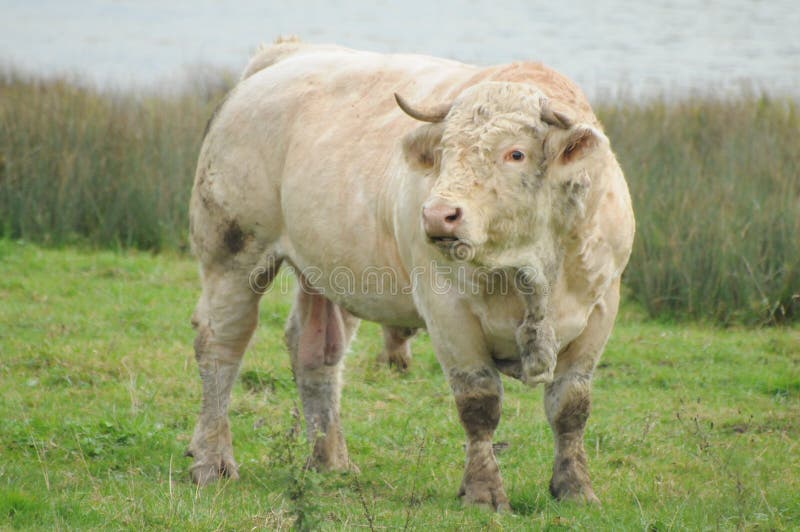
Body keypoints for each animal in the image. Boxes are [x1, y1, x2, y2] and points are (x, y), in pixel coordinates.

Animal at [186, 38, 635, 511]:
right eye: (444, 153)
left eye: (516, 153)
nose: (438, 215)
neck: (532, 269)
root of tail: (289, 52)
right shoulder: (448, 311)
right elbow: (479, 402)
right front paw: (483, 493)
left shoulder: (601, 307)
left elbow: (571, 406)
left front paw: (575, 488)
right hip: (232, 254)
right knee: (220, 345)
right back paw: (212, 461)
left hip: (330, 272)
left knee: (315, 351)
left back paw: (330, 461)